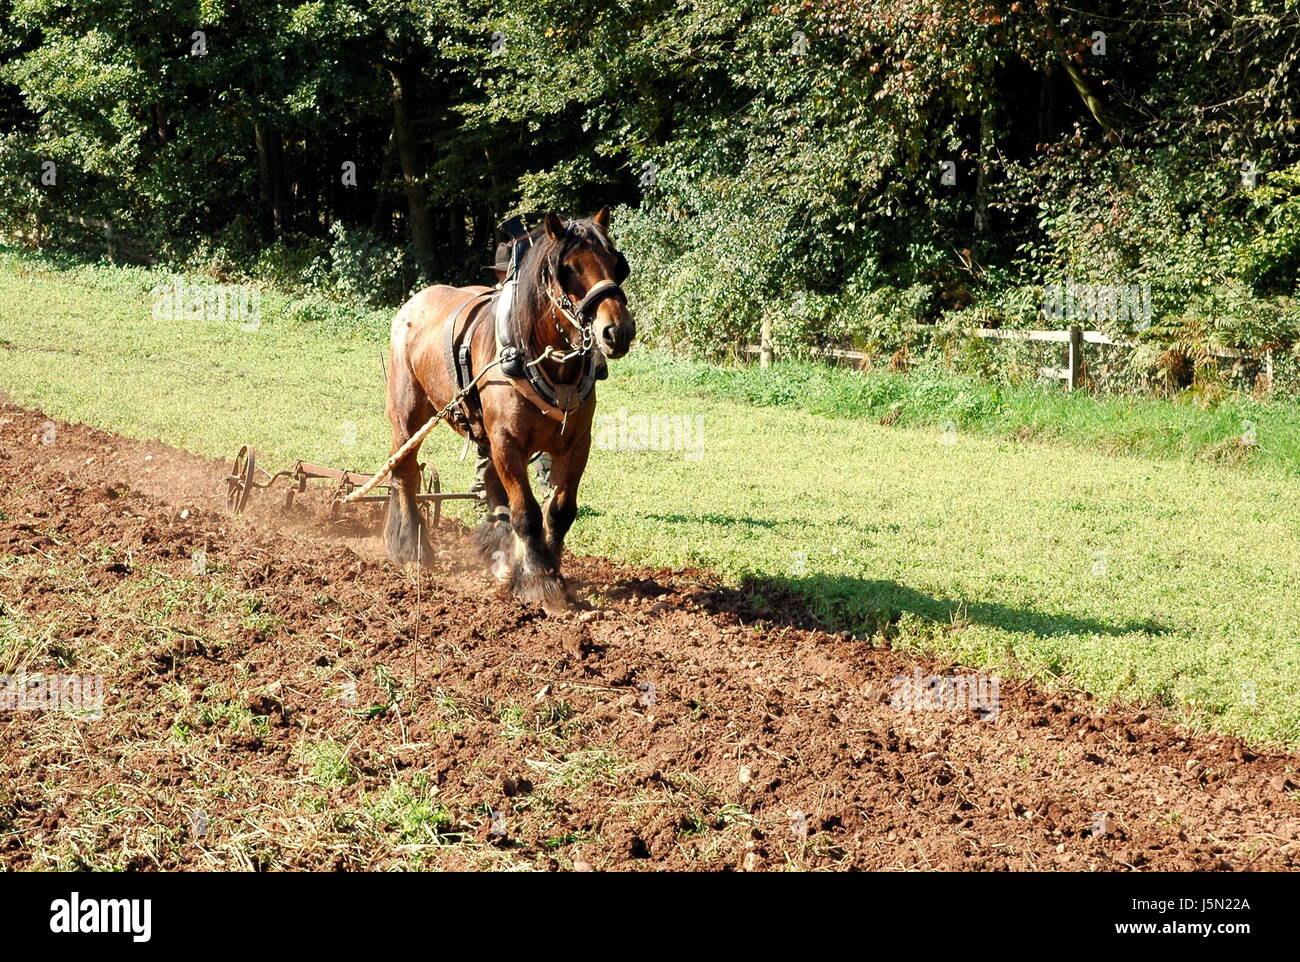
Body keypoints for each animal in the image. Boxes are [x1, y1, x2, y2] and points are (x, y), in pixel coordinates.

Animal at [383, 207, 636, 612]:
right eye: (568, 268)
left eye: (617, 263)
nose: (617, 331)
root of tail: (415, 301)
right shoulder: (507, 443)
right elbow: (527, 513)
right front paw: (539, 582)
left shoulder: (576, 444)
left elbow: (559, 511)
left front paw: (551, 569)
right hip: (408, 414)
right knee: (405, 473)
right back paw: (412, 548)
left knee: (487, 485)